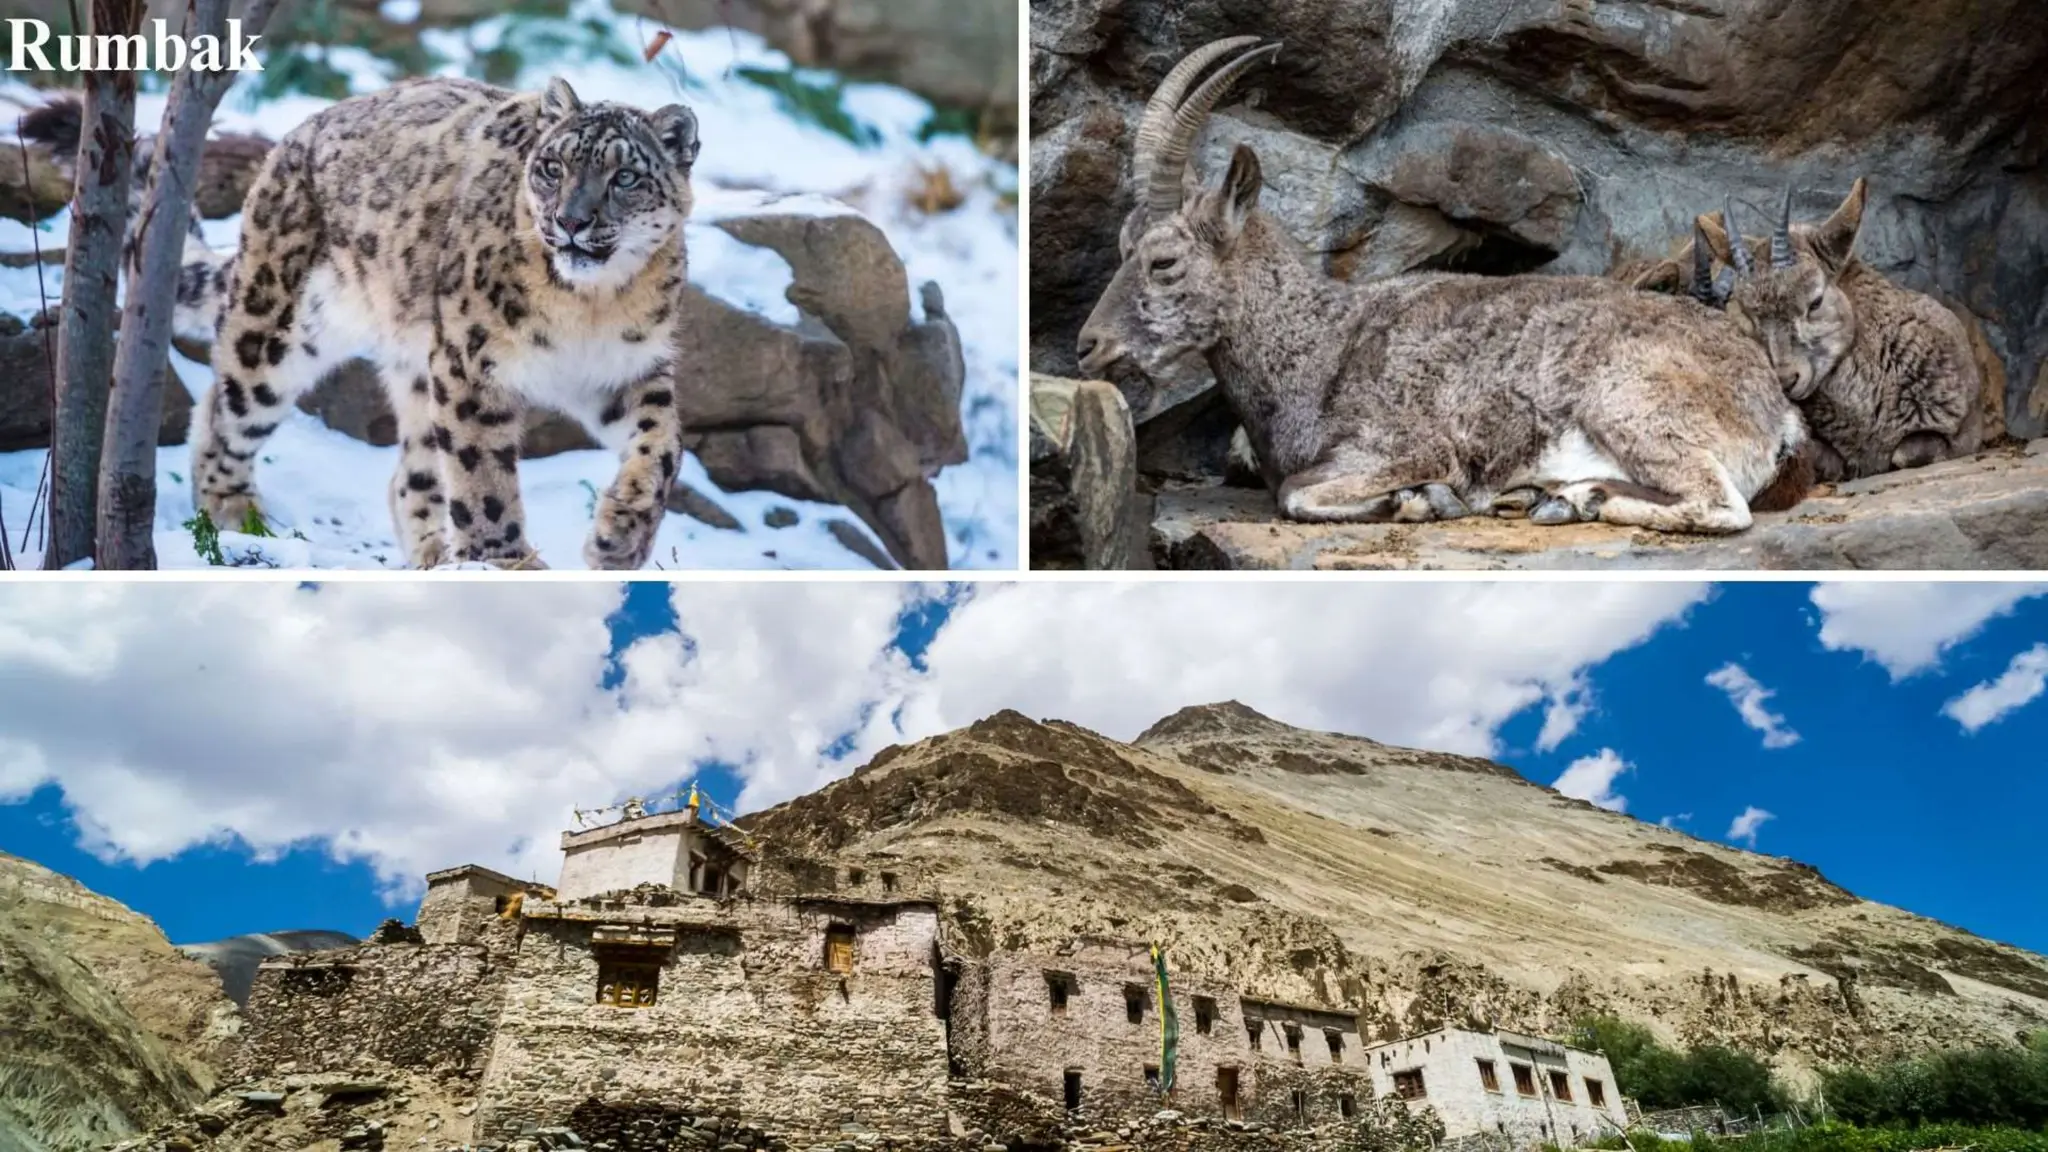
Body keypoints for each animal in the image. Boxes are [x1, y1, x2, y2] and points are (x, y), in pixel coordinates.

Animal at [188, 75, 701, 569]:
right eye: (554, 166)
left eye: (626, 176)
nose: (570, 220)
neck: (592, 305)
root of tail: (295, 133)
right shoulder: (471, 362)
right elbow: (482, 473)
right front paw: (505, 561)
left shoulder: (624, 369)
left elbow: (663, 446)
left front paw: (620, 537)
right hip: (280, 324)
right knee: (227, 406)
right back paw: (232, 512)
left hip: (418, 367)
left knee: (410, 474)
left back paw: (433, 555)